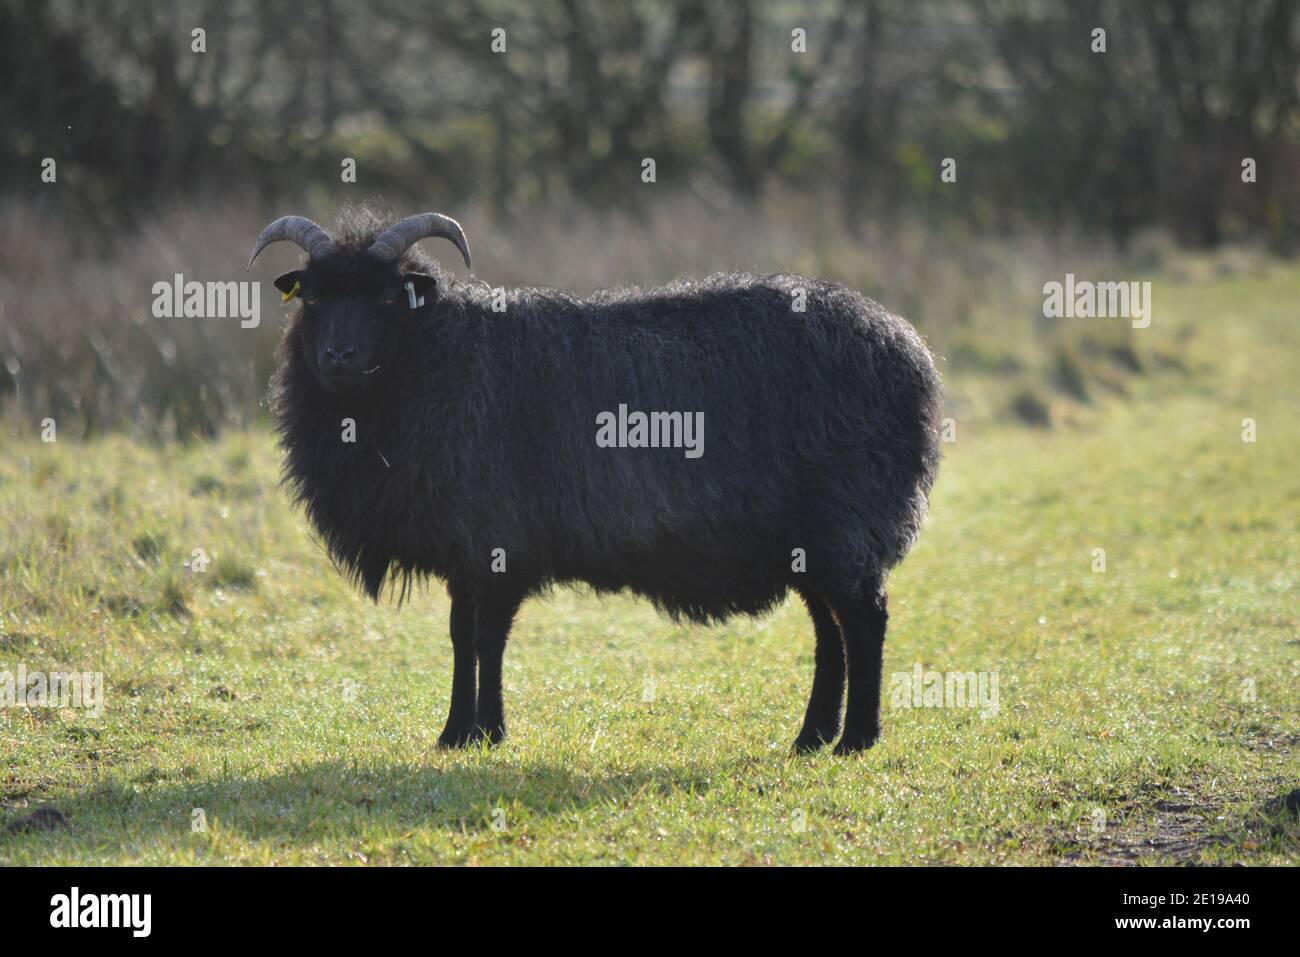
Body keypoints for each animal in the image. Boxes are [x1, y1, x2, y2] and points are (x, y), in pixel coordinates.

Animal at [247, 204, 943, 754]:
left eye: (389, 297)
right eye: (312, 296)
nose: (339, 357)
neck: (436, 359)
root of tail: (910, 351)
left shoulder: (498, 541)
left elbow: (485, 639)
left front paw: (484, 732)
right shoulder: (467, 550)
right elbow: (461, 636)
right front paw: (457, 733)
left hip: (844, 521)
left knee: (865, 620)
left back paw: (857, 740)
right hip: (805, 541)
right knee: (831, 632)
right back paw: (812, 737)